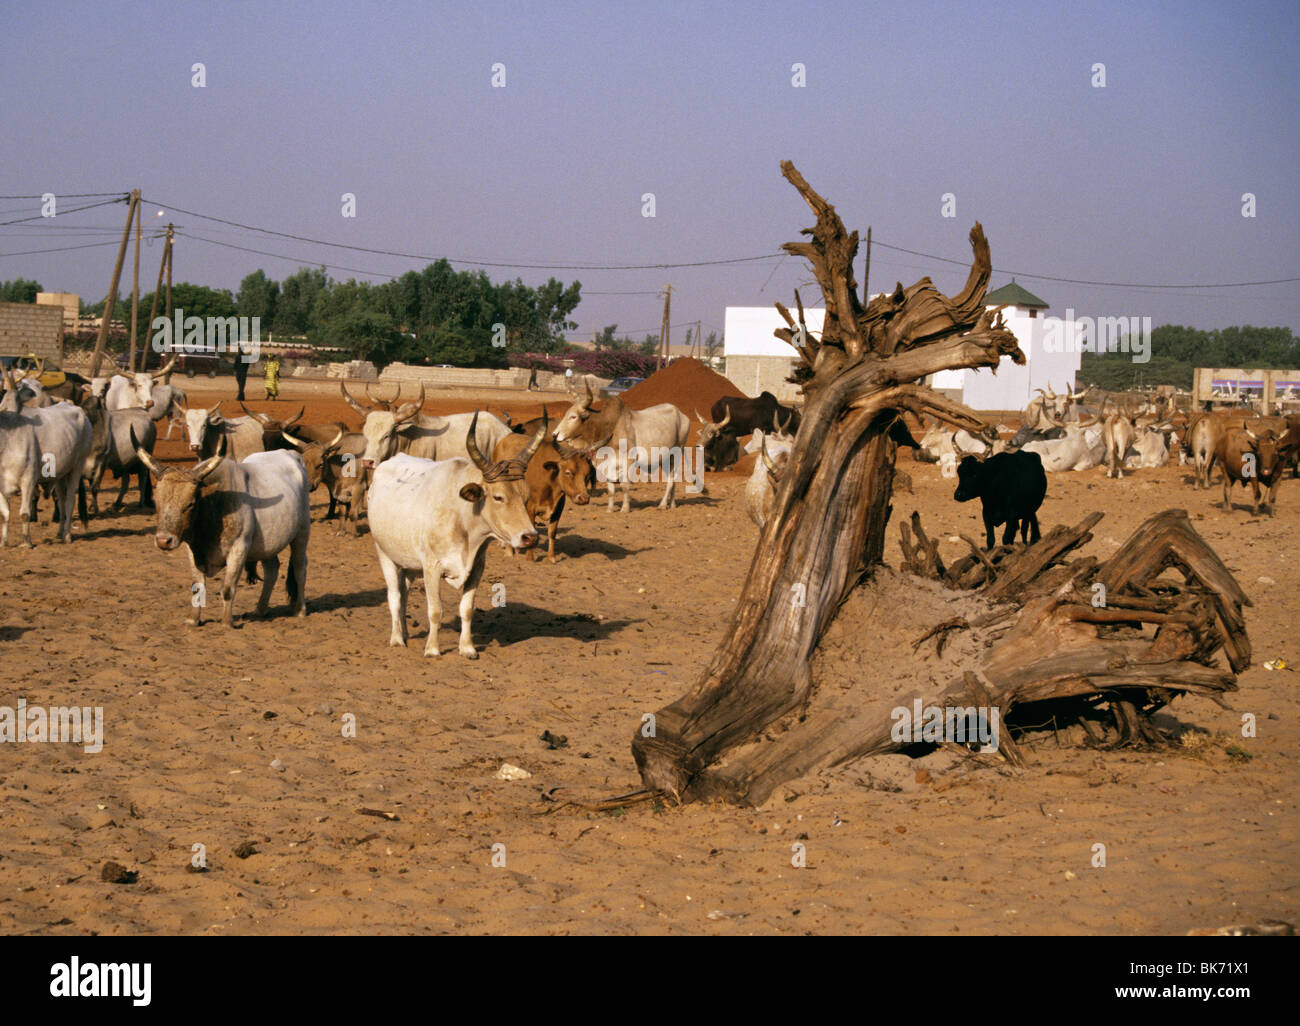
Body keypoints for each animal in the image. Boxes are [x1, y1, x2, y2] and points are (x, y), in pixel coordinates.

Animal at [134, 438, 311, 625]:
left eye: (190, 504)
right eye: (156, 501)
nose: (163, 541)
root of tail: (290, 454)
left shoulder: (239, 548)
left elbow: (227, 589)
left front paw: (227, 622)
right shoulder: (192, 551)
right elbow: (197, 587)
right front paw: (193, 620)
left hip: (302, 533)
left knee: (299, 568)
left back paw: (300, 609)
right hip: (268, 544)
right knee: (272, 570)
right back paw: (260, 610)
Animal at [367, 412, 546, 657]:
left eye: (525, 495)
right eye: (498, 497)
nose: (530, 537)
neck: (463, 517)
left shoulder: (476, 568)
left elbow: (467, 609)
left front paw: (467, 647)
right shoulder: (431, 568)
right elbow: (435, 610)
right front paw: (433, 649)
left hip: (409, 563)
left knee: (403, 595)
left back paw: (404, 632)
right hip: (385, 553)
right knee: (394, 596)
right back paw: (396, 638)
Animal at [492, 423, 595, 562]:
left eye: (587, 475)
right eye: (568, 472)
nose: (583, 498)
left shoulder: (558, 508)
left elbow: (552, 532)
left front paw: (551, 557)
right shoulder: (530, 507)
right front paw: (530, 557)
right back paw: (509, 551)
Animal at [553, 380, 692, 512]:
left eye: (573, 416)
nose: (555, 434)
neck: (609, 428)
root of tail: (681, 414)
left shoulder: (628, 462)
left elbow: (625, 486)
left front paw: (625, 508)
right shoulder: (607, 465)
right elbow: (610, 489)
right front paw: (609, 509)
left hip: (676, 454)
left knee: (671, 480)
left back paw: (662, 505)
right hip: (665, 459)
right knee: (673, 480)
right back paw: (672, 504)